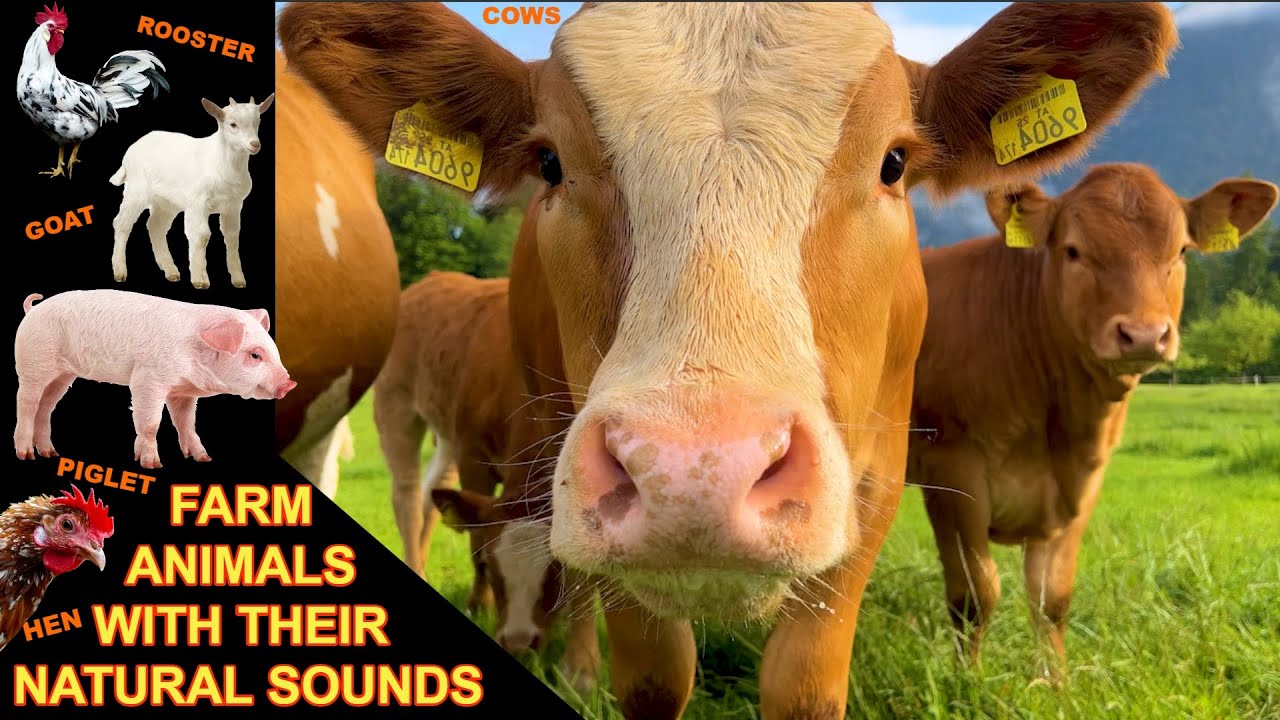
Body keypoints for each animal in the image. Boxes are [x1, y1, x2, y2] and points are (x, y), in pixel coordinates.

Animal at [110, 94, 274, 289]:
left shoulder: (233, 205)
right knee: (122, 223)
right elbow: (201, 234)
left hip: (166, 202)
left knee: (155, 226)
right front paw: (199, 279)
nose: (254, 144)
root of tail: (129, 153)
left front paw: (238, 279)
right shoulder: (198, 202)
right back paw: (120, 271)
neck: (220, 161)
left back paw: (171, 271)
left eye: (257, 122)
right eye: (232, 124)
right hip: (136, 189)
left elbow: (232, 236)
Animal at [909, 164, 1278, 681]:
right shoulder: (951, 471)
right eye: (1073, 251)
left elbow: (1051, 600)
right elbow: (974, 596)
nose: (1143, 334)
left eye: (1182, 251)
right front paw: (969, 683)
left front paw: (1055, 685)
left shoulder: (1079, 481)